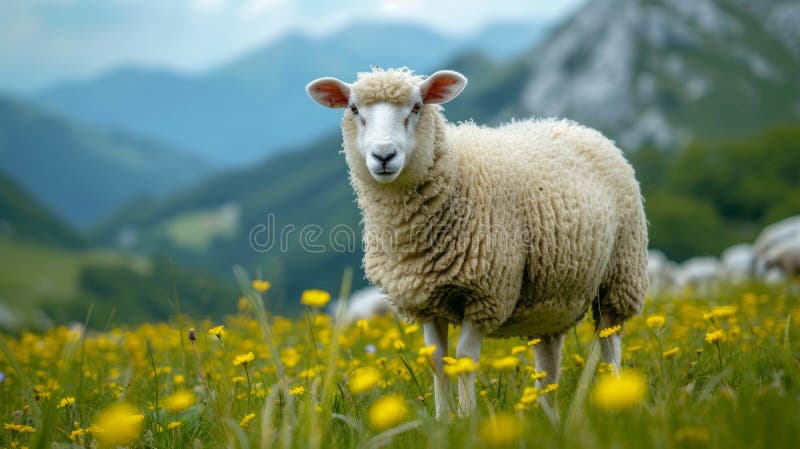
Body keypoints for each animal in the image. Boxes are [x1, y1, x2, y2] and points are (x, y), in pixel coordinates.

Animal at [306, 67, 648, 420]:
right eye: (354, 109)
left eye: (416, 107)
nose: (384, 156)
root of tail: (575, 127)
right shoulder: (426, 299)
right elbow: (437, 361)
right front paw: (443, 420)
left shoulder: (485, 294)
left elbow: (464, 360)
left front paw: (467, 417)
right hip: (551, 299)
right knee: (548, 360)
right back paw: (548, 415)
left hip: (620, 275)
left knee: (609, 341)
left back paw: (617, 396)